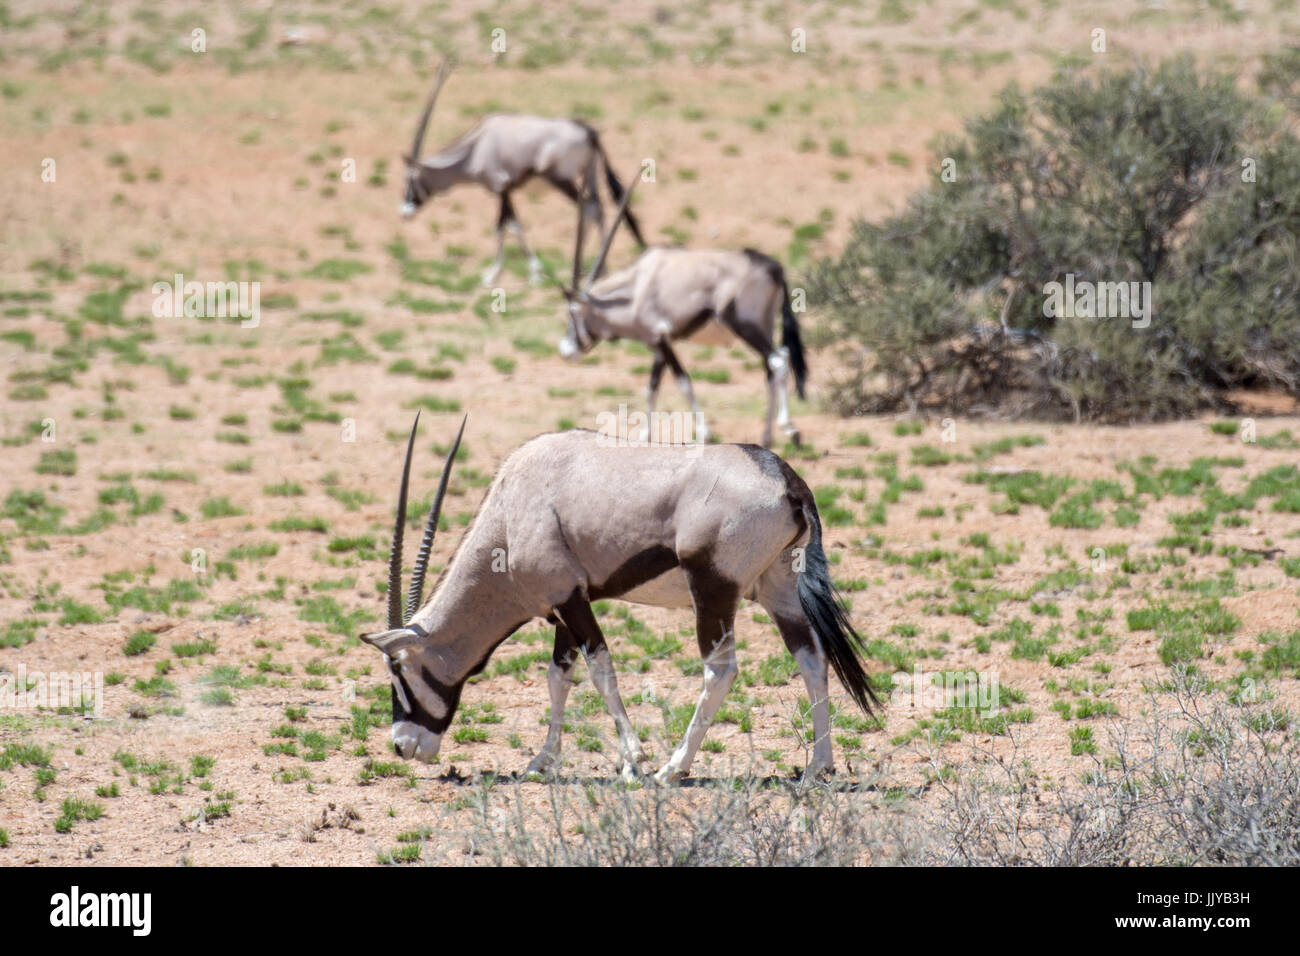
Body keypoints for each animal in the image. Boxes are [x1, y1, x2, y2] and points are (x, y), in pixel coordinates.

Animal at [360, 413, 879, 784]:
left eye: (398, 669)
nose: (403, 746)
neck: (508, 513)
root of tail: (788, 482)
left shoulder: (570, 598)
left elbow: (601, 670)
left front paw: (634, 762)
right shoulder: (559, 608)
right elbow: (558, 678)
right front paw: (541, 762)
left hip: (713, 590)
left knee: (721, 670)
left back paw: (673, 769)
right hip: (778, 590)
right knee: (811, 657)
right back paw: (817, 768)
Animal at [398, 61, 645, 287]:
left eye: (410, 179)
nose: (404, 213)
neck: (475, 148)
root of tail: (588, 131)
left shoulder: (501, 188)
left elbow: (506, 226)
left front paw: (502, 275)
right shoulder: (506, 191)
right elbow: (508, 225)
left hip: (560, 179)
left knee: (588, 208)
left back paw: (589, 268)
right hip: (589, 173)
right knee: (597, 207)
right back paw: (598, 268)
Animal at [556, 184, 808, 448]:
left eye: (572, 313)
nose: (565, 350)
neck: (636, 288)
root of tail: (774, 268)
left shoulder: (660, 337)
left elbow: (682, 381)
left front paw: (705, 433)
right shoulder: (658, 343)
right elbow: (652, 386)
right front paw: (645, 436)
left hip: (745, 326)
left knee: (779, 359)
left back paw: (790, 429)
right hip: (764, 325)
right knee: (771, 368)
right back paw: (766, 437)